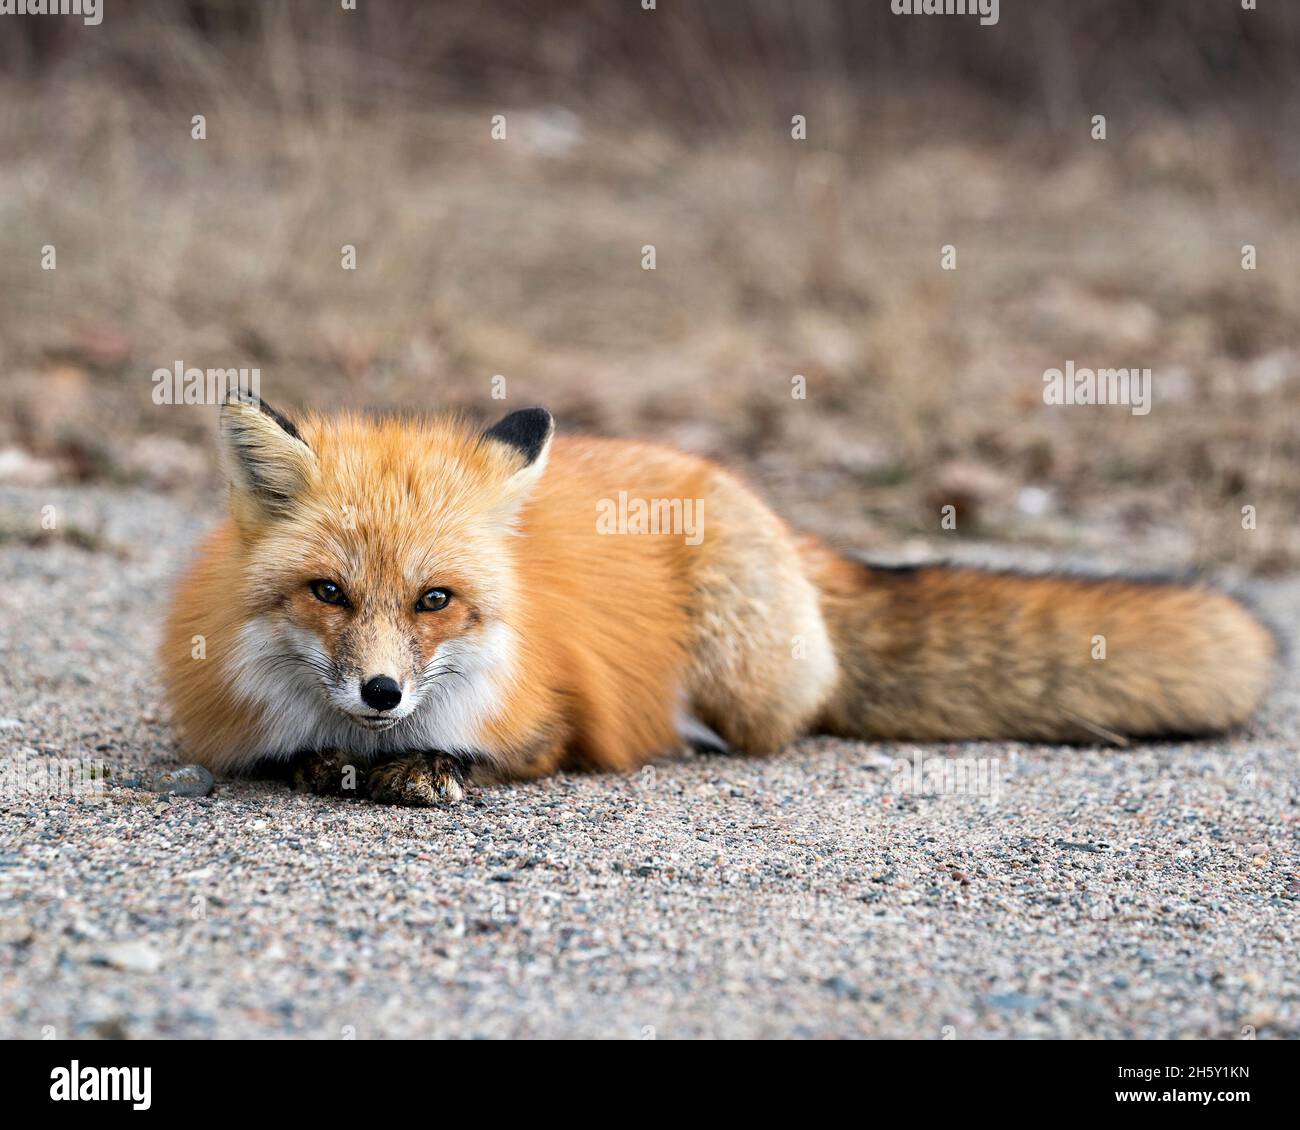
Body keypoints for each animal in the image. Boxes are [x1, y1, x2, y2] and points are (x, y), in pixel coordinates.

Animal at [159, 393, 1277, 806]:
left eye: (435, 598)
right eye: (329, 592)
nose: (383, 693)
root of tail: (768, 508)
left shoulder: (552, 721)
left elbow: (496, 751)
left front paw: (422, 765)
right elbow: (296, 756)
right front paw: (332, 759)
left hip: (740, 666)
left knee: (787, 718)